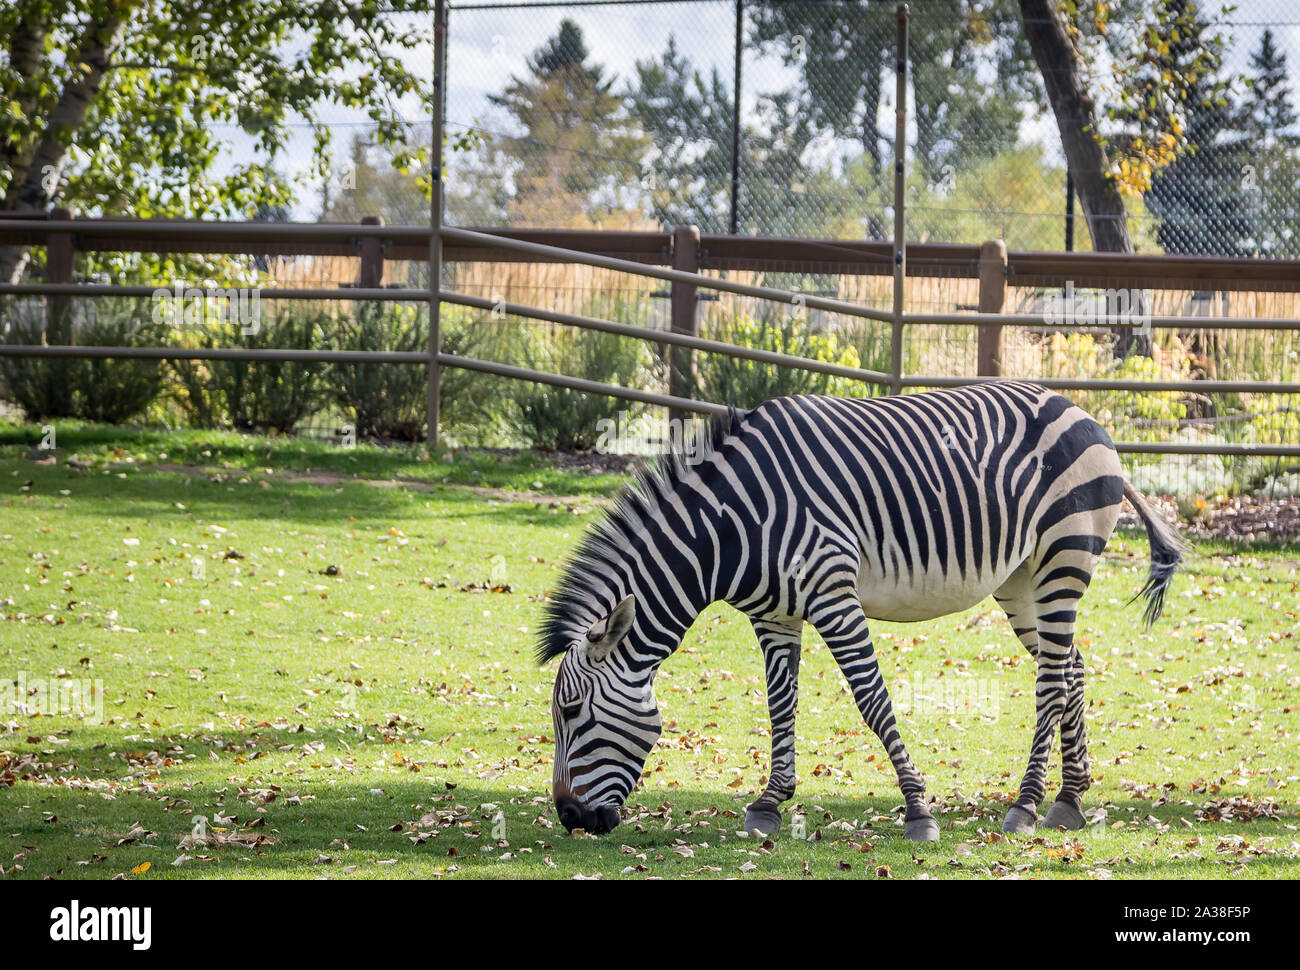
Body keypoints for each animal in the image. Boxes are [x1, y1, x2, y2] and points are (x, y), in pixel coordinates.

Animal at [537, 381, 1185, 840]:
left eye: (570, 712)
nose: (568, 816)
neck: (731, 528)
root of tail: (1081, 411)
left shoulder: (832, 592)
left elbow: (873, 701)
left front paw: (918, 810)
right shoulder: (772, 613)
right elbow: (780, 704)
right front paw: (769, 804)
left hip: (1063, 559)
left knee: (1052, 679)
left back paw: (1025, 805)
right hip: (1021, 579)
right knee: (1070, 667)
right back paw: (1069, 800)